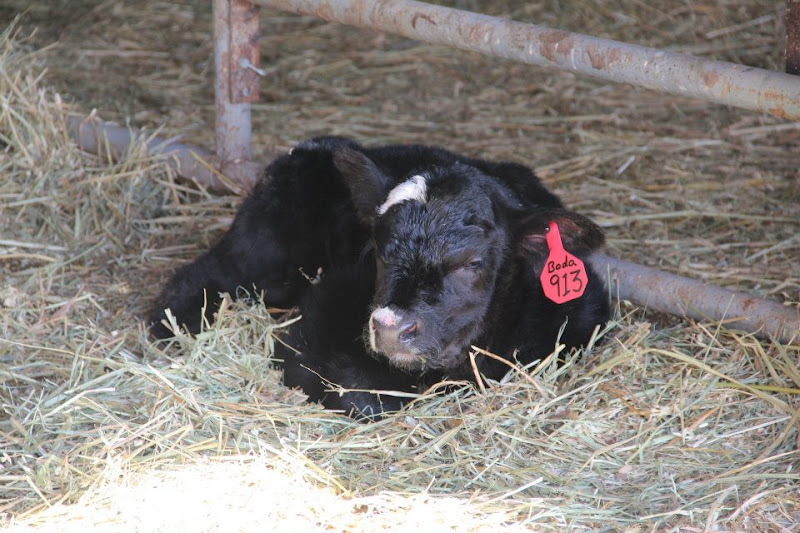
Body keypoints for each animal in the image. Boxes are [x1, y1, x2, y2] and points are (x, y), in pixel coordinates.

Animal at [149, 137, 610, 419]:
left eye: (471, 263)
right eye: (381, 252)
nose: (390, 327)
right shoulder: (313, 320)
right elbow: (357, 390)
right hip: (257, 253)